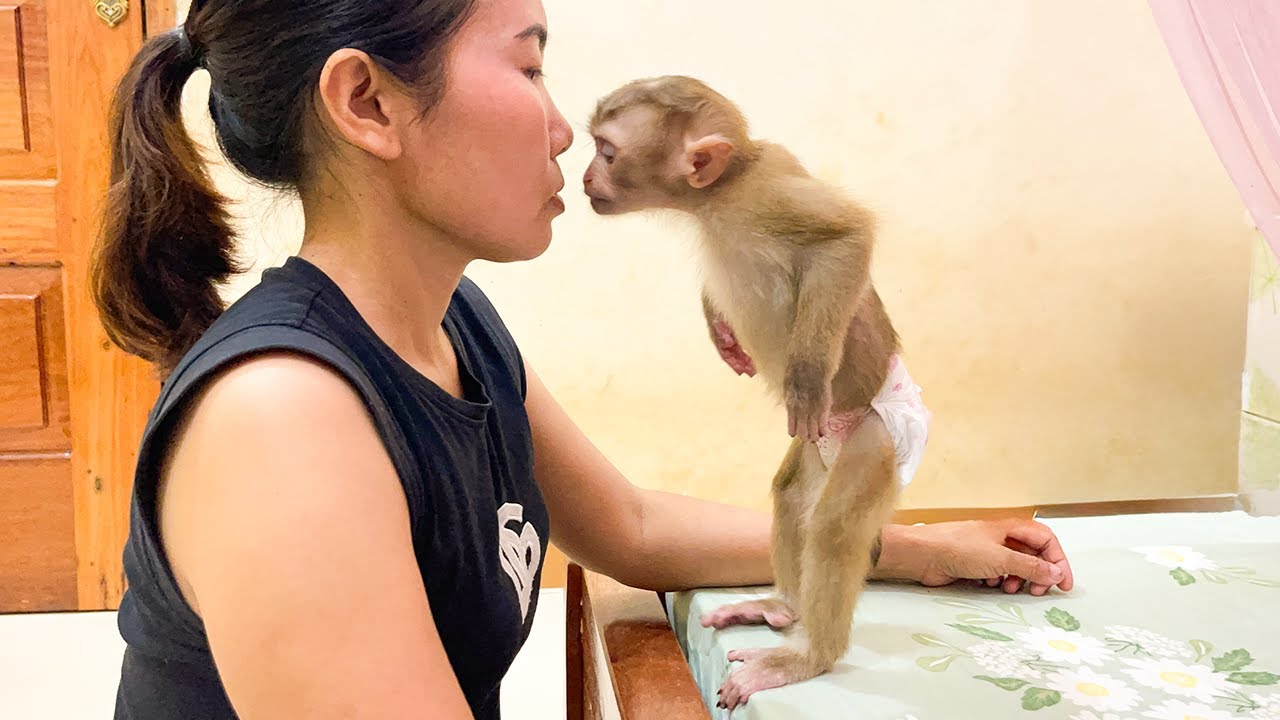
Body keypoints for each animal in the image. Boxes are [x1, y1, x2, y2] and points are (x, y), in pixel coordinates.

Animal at [582, 76, 932, 709]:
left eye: (608, 152)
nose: (584, 177)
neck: (718, 197)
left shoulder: (766, 194)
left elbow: (846, 236)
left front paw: (807, 374)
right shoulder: (776, 166)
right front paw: (719, 328)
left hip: (879, 437)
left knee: (835, 523)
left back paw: (811, 656)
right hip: (821, 447)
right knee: (794, 495)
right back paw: (782, 607)